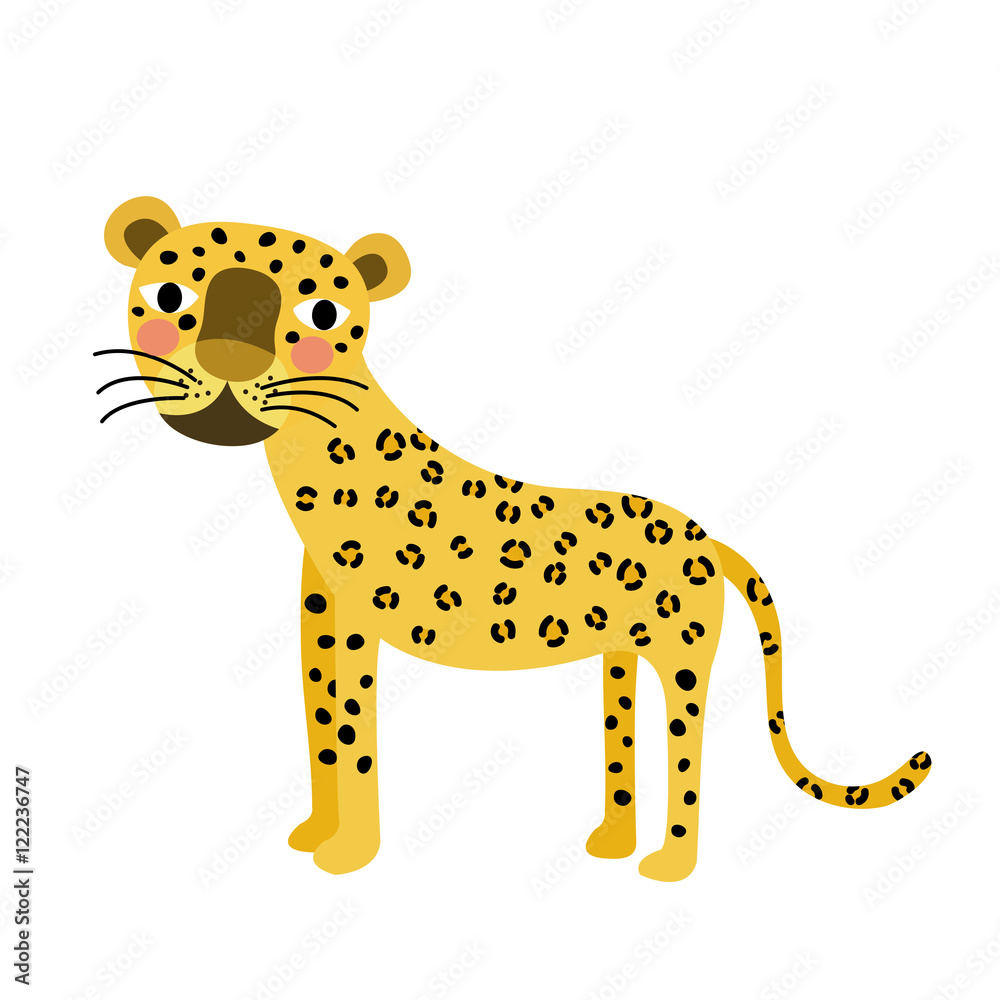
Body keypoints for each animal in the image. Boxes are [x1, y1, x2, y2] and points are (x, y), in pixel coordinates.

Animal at [99, 196, 932, 881]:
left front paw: (348, 854)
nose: (230, 354)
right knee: (622, 740)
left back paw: (668, 864)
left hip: (683, 658)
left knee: (685, 748)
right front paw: (315, 835)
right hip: (620, 657)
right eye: (171, 296)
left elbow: (354, 738)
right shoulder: (321, 629)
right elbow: (321, 731)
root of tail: (707, 535)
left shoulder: (361, 629)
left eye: (323, 312)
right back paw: (610, 842)